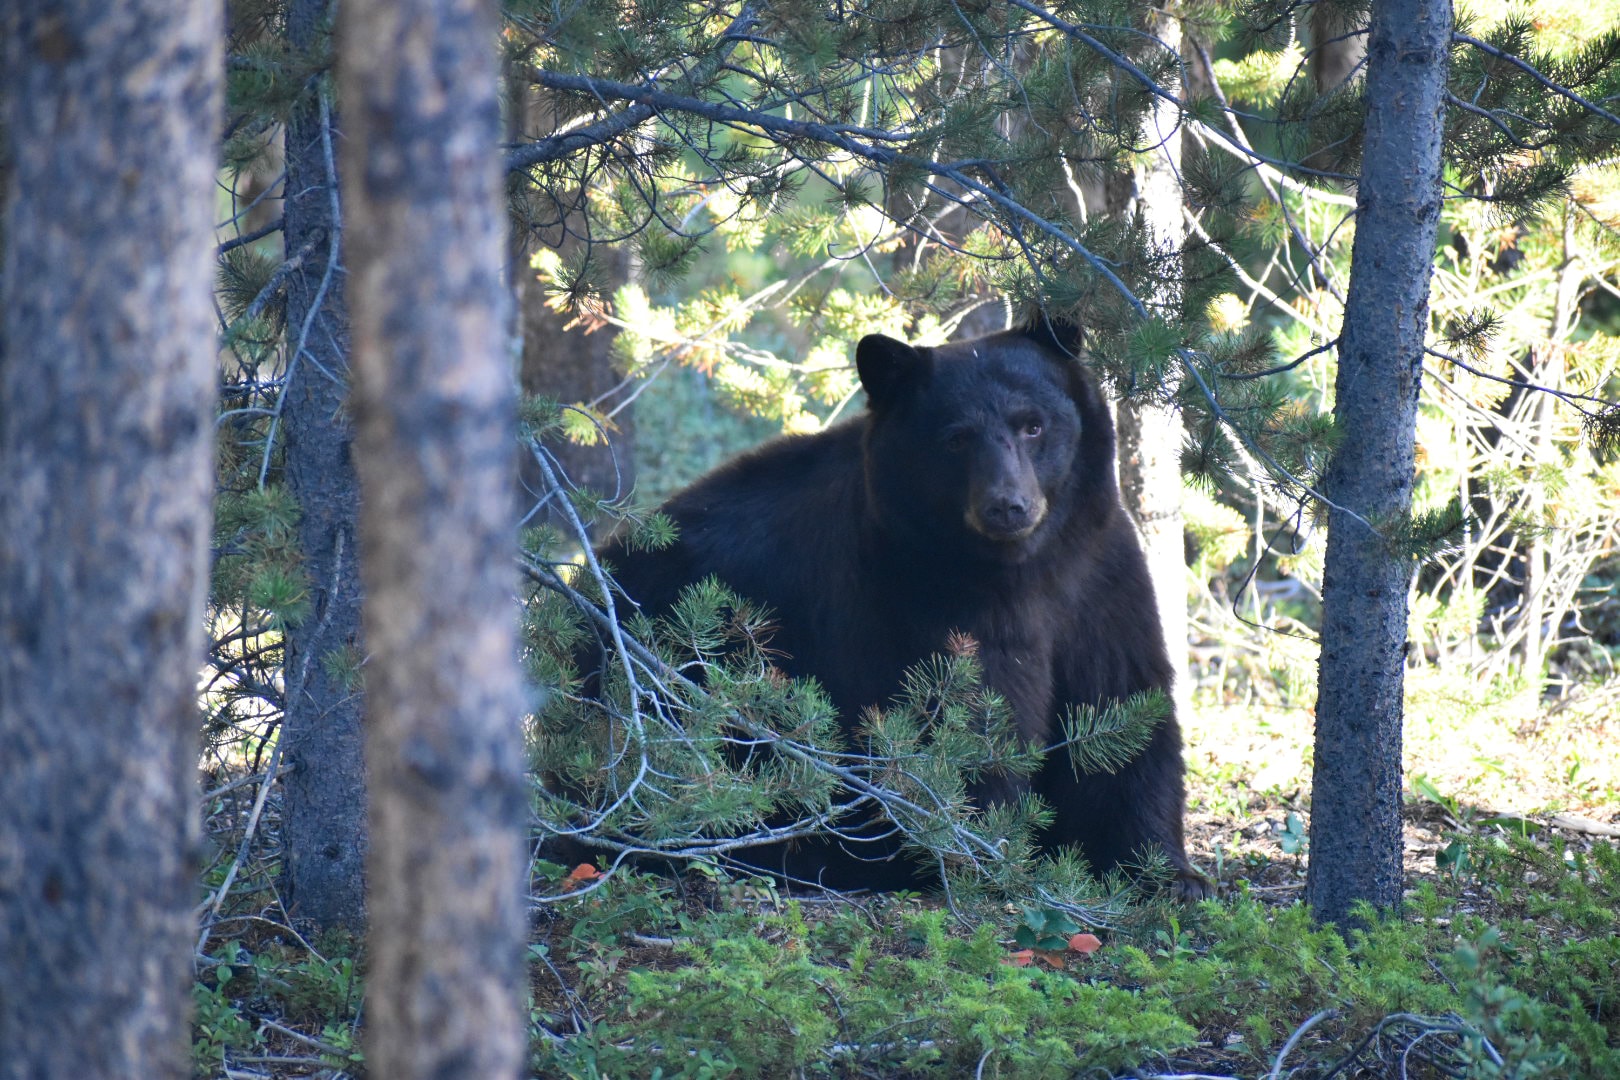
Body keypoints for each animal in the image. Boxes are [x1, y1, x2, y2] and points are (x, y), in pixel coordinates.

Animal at [584, 321, 1209, 899]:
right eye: (956, 438)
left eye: (1033, 425)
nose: (1007, 505)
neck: (1021, 572)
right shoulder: (919, 600)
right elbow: (969, 722)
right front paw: (992, 853)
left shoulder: (1098, 580)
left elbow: (1121, 707)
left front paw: (1167, 873)